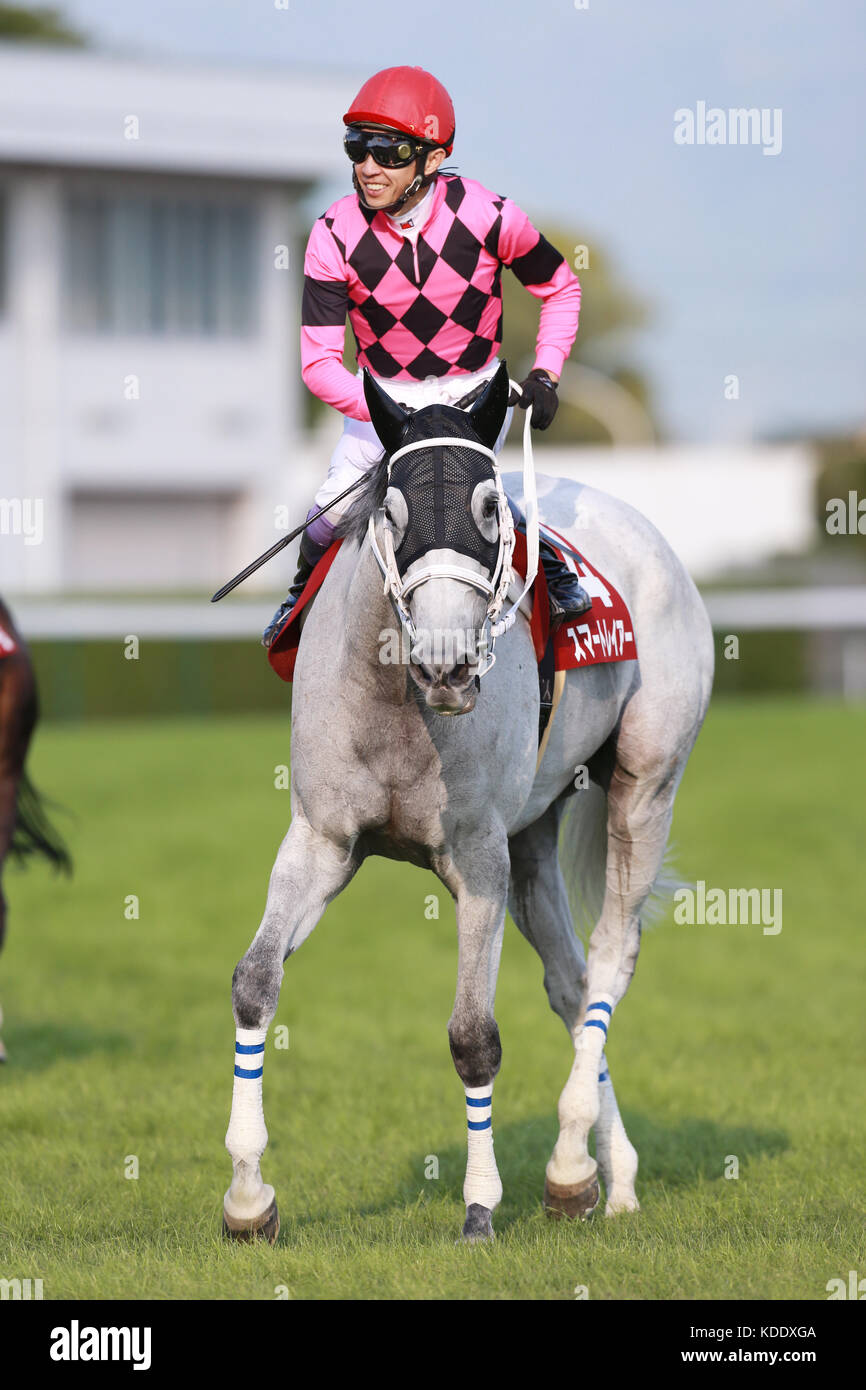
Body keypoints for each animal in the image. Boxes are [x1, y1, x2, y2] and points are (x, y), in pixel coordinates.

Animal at [223, 362, 714, 1242]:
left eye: (491, 510)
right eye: (390, 511)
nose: (448, 663)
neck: (399, 702)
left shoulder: (478, 857)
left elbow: (473, 1034)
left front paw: (480, 1206)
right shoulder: (322, 839)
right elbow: (255, 979)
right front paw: (247, 1196)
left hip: (646, 783)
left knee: (609, 960)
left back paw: (568, 1164)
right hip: (535, 835)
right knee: (570, 979)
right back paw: (610, 1172)